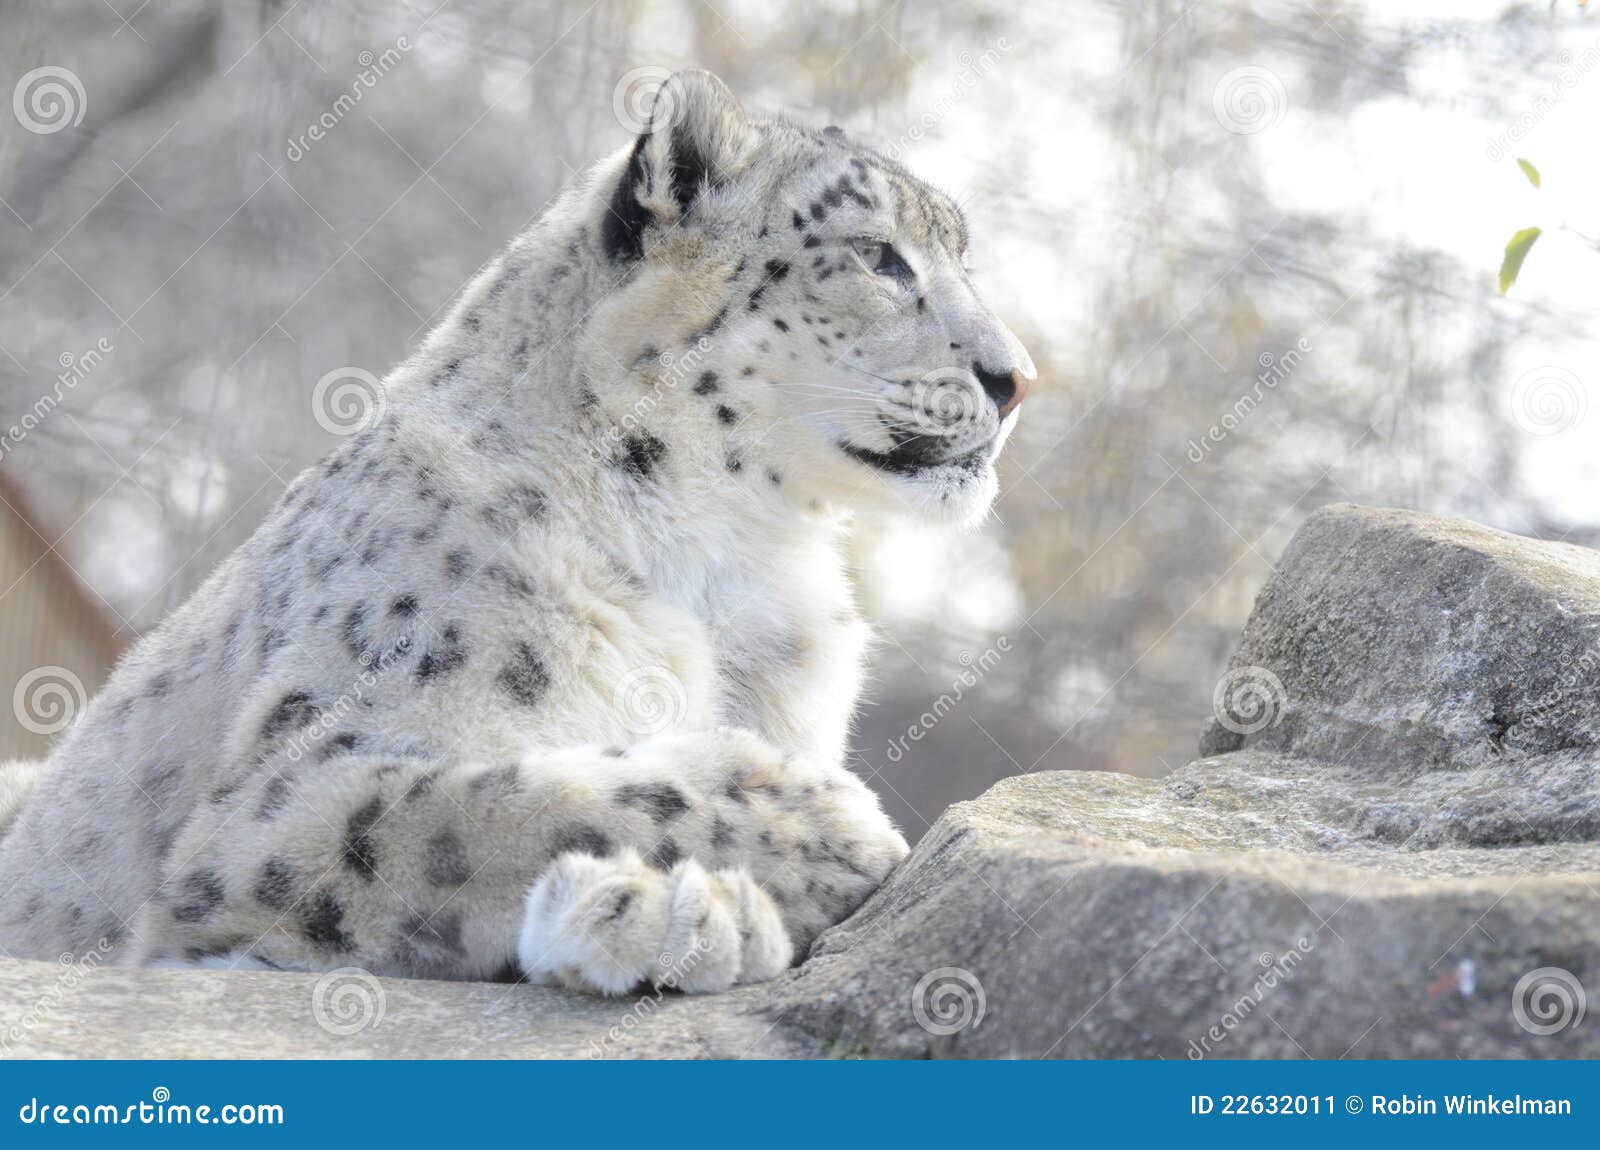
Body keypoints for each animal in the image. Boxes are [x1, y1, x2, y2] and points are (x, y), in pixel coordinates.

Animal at [0, 70, 1034, 995]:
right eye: (878, 256)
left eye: (963, 259)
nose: (1017, 377)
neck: (737, 563)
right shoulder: (281, 803)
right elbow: (473, 806)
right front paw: (816, 828)